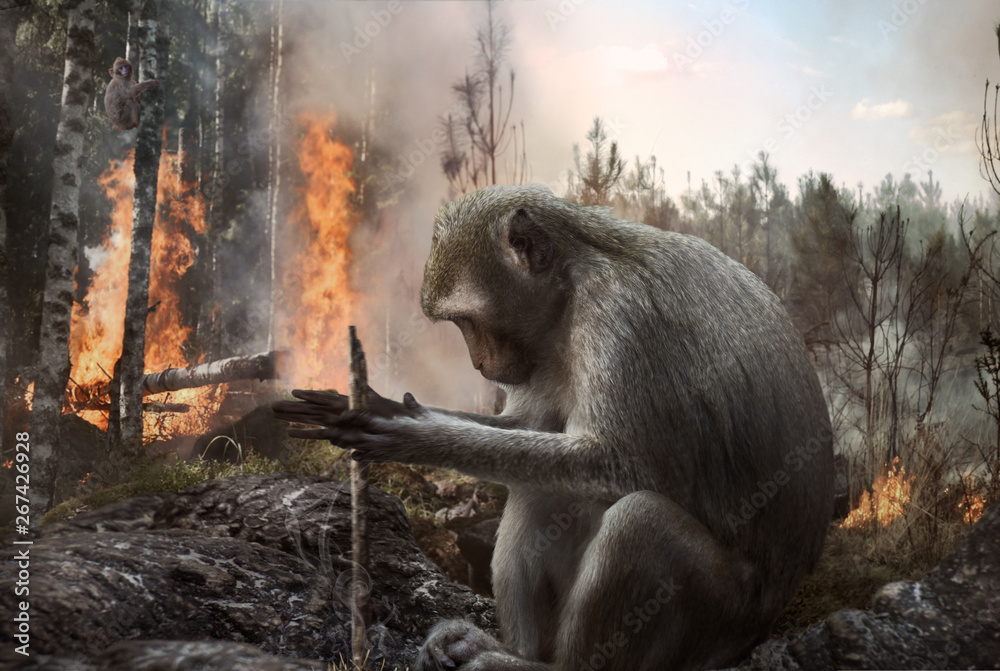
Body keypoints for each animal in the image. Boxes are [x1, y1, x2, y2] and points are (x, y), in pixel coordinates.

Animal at [273, 184, 834, 671]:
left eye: (466, 321)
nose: (479, 365)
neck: (574, 278)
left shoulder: (617, 315)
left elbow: (619, 464)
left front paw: (409, 436)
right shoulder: (543, 344)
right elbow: (525, 426)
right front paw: (379, 403)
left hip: (721, 621)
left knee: (640, 520)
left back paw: (547, 667)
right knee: (540, 488)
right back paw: (516, 650)